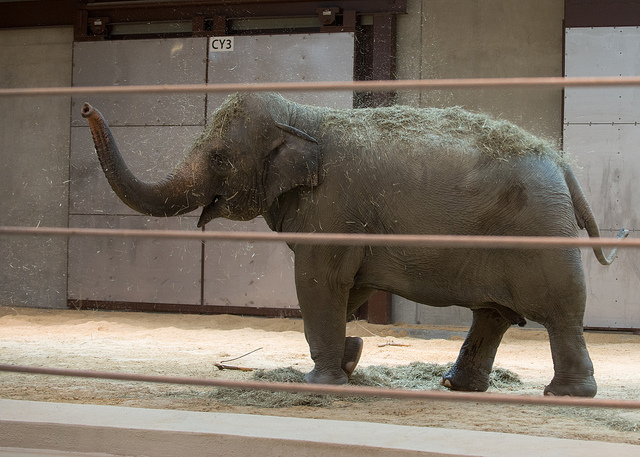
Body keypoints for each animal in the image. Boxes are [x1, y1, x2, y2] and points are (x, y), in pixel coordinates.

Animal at [81, 92, 628, 397]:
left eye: (218, 156)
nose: (85, 106)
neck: (306, 116)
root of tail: (562, 164)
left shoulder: (331, 206)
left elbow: (318, 281)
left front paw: (324, 383)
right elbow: (350, 289)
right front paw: (351, 355)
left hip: (542, 235)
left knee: (558, 312)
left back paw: (567, 395)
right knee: (492, 314)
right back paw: (456, 385)